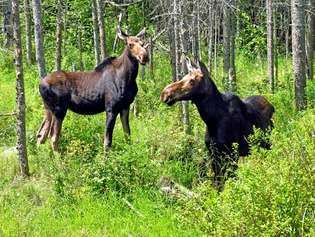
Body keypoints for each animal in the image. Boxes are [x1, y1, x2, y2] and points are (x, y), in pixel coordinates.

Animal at [162, 57, 276, 187]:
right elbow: (217, 182)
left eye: (192, 81)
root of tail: (272, 106)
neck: (212, 119)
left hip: (267, 143)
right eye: (183, 77)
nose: (165, 93)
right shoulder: (213, 154)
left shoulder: (231, 153)